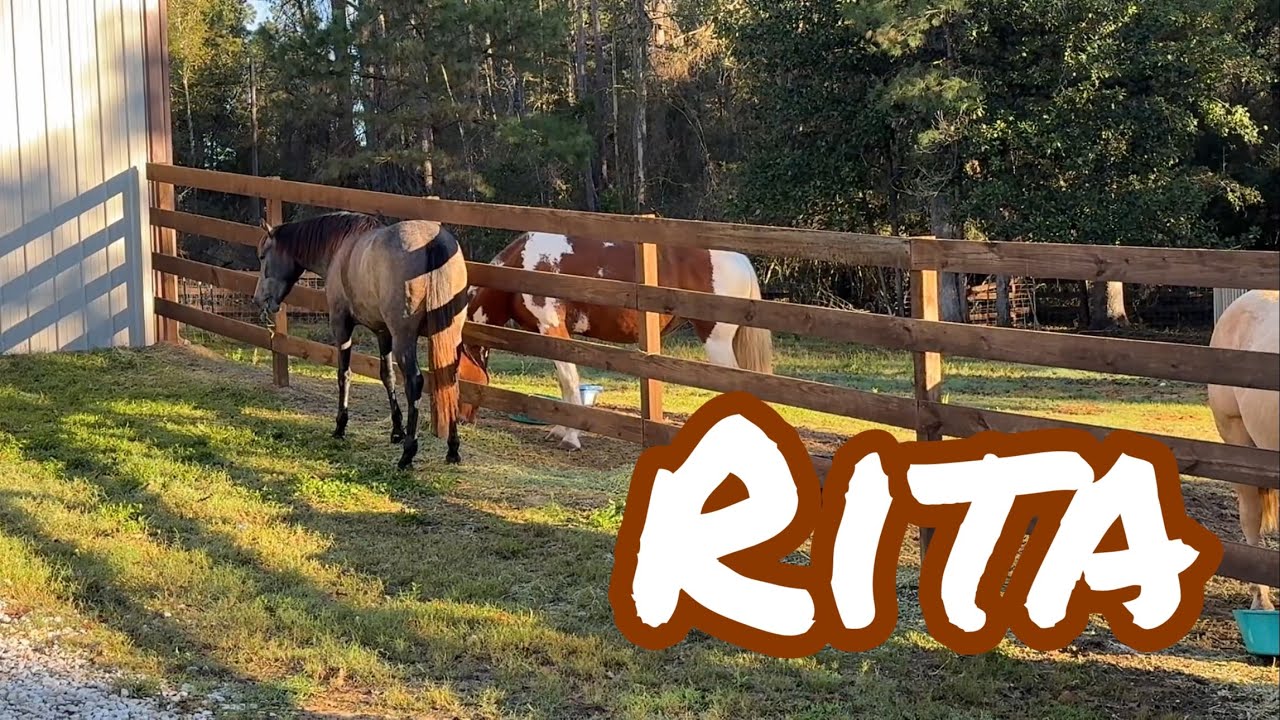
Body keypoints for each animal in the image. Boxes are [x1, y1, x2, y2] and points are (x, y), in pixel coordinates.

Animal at [251, 211, 485, 470]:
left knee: (414, 382)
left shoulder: (342, 325)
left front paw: (341, 425)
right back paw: (452, 449)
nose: (258, 299)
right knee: (449, 380)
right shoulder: (383, 333)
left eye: (262, 256)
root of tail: (432, 242)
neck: (341, 246)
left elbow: (344, 373)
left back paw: (408, 454)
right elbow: (387, 376)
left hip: (405, 337)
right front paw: (396, 430)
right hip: (449, 334)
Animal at [457, 230, 774, 451]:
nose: (461, 419)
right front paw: (560, 428)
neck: (521, 267)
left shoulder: (553, 329)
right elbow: (564, 382)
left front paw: (571, 437)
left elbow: (569, 380)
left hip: (716, 339)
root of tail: (739, 258)